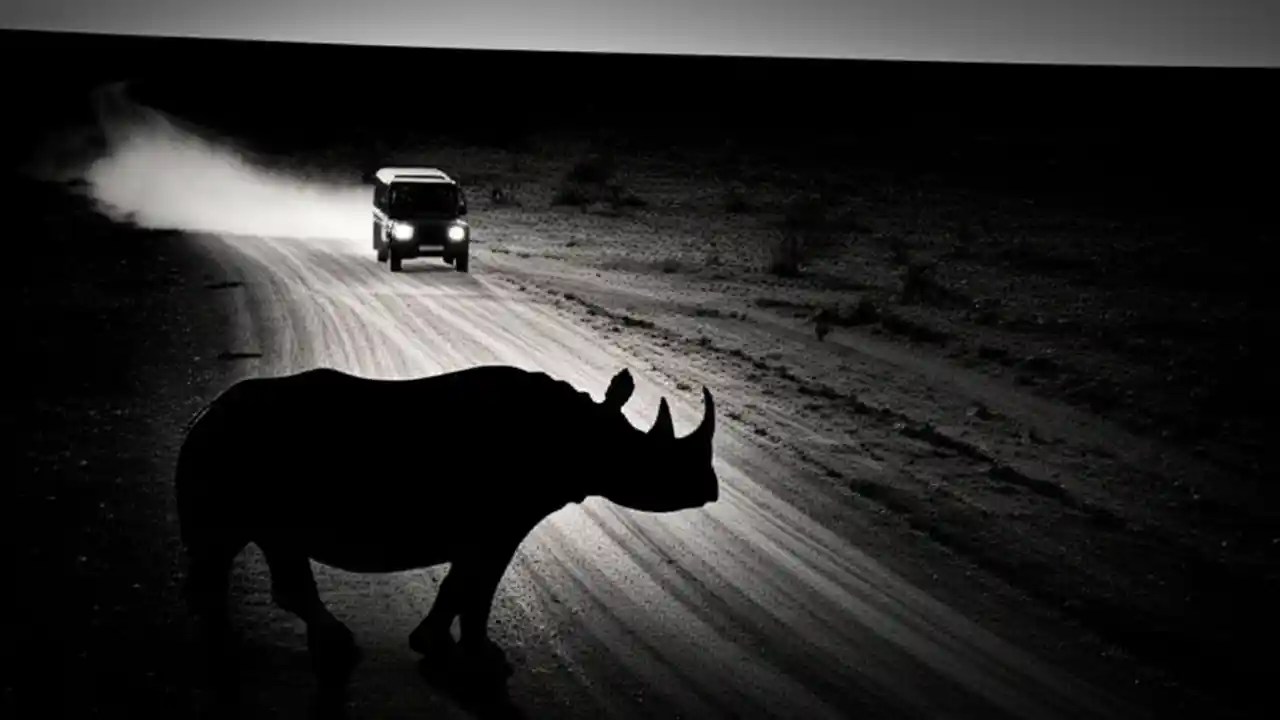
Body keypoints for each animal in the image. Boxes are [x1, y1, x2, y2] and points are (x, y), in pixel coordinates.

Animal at [175, 364, 718, 682]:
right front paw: (481, 657)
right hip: (235, 453)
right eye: (654, 460)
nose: (709, 489)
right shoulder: (501, 524)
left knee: (252, 550)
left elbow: (464, 585)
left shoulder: (493, 526)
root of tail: (202, 415)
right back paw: (281, 648)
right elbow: (475, 588)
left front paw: (433, 643)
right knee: (237, 550)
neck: (584, 434)